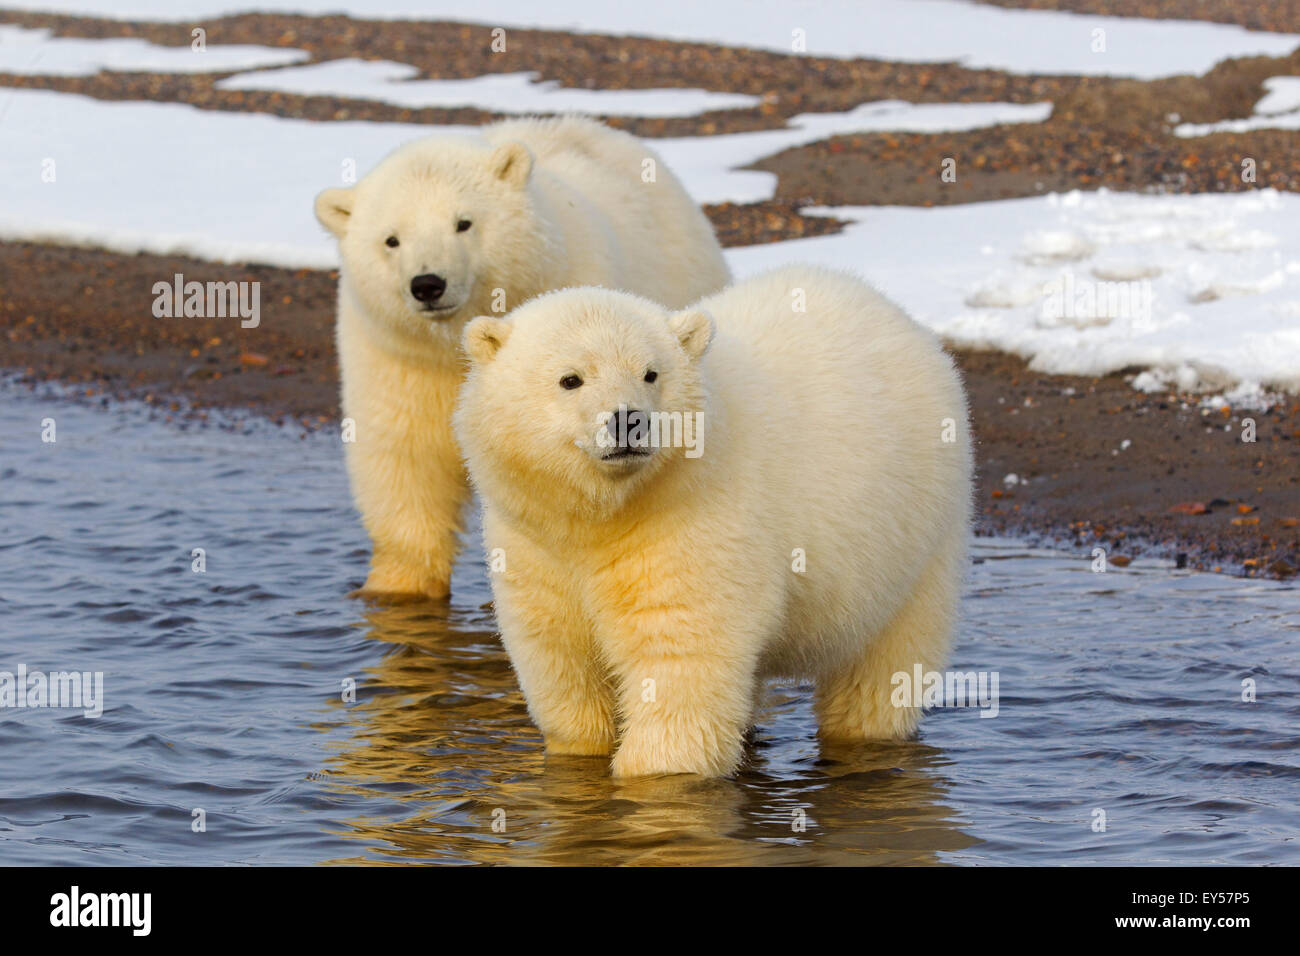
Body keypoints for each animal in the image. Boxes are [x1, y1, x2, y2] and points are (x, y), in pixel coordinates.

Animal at [314, 115, 731, 600]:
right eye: (391, 240)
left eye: (464, 223)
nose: (428, 284)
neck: (451, 345)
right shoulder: (397, 358)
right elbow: (405, 461)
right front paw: (398, 590)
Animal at [453, 264, 974, 778]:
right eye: (570, 379)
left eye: (650, 373)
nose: (627, 421)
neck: (607, 513)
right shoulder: (535, 543)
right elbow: (562, 662)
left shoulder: (691, 525)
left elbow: (679, 664)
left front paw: (653, 773)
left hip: (918, 542)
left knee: (884, 669)